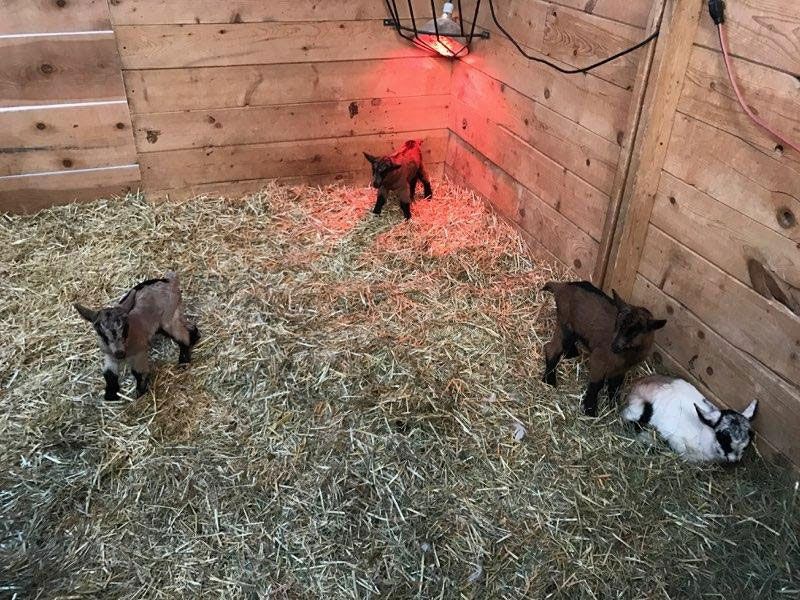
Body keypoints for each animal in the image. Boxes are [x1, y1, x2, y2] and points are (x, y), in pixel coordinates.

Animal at [74, 271, 200, 400]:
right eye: (101, 333)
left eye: (125, 327)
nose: (119, 353)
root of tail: (169, 281)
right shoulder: (109, 355)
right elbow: (109, 374)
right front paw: (111, 394)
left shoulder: (140, 351)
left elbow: (138, 372)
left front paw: (140, 390)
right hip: (171, 316)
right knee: (190, 326)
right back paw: (195, 338)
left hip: (169, 317)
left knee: (183, 336)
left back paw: (184, 361)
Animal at [541, 281, 666, 416]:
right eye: (617, 324)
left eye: (635, 332)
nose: (614, 346)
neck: (627, 355)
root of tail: (561, 286)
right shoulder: (599, 360)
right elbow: (597, 385)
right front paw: (590, 410)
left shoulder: (622, 369)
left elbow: (615, 386)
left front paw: (614, 406)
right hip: (565, 325)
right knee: (551, 348)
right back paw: (549, 380)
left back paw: (571, 353)